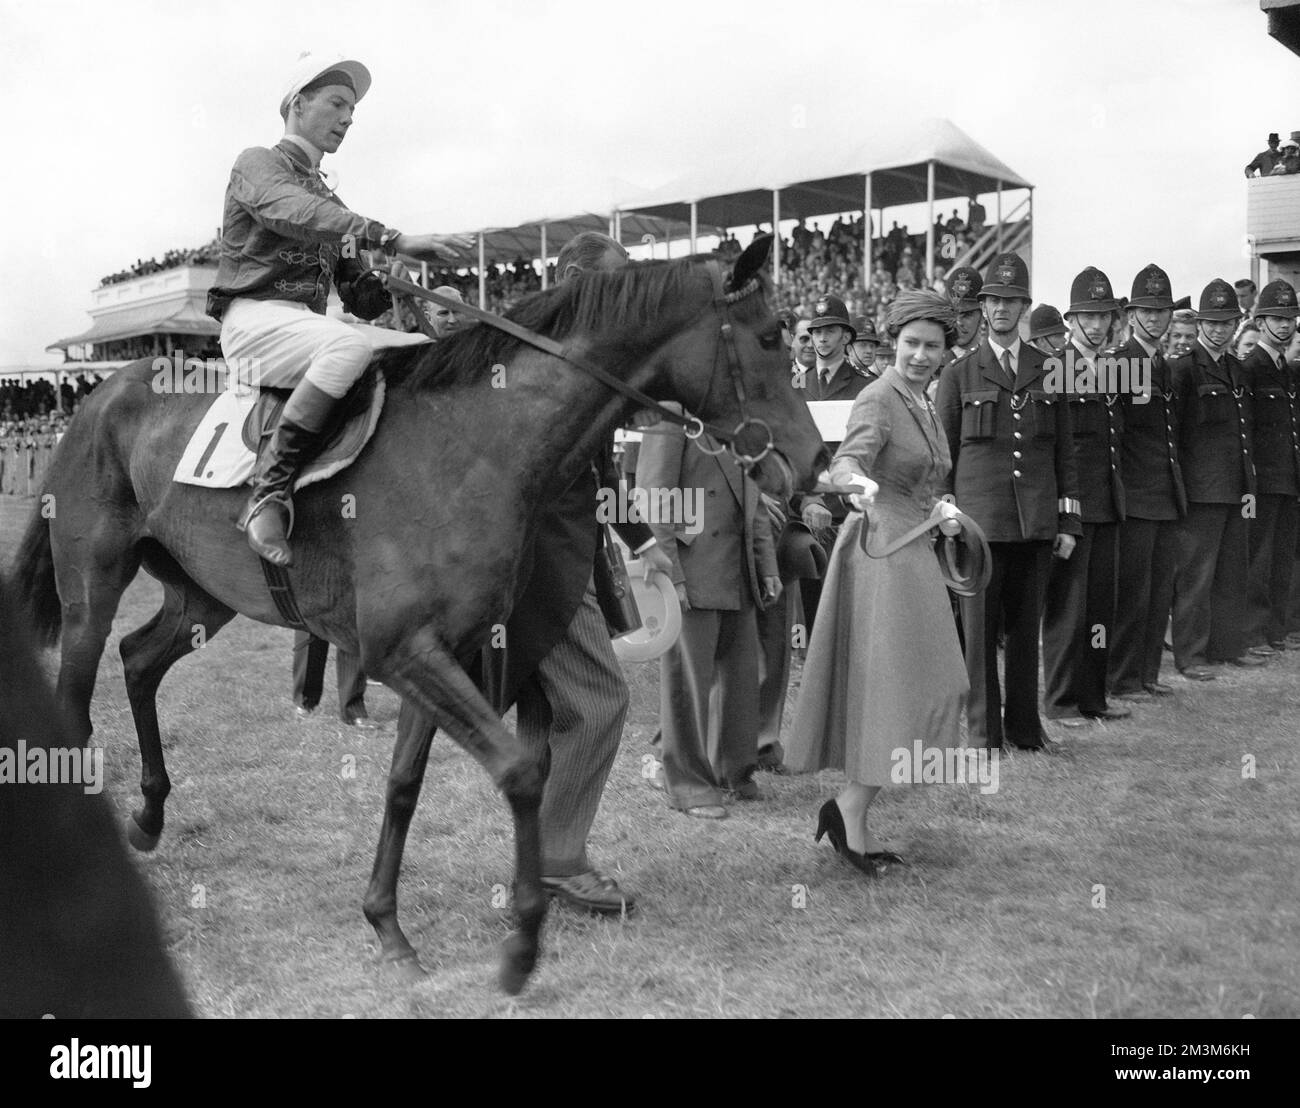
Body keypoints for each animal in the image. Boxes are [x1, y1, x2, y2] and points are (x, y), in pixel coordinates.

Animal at [10, 235, 821, 993]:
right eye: (772, 336)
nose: (812, 462)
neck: (471, 444)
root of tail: (99, 395)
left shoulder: (440, 652)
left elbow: (404, 785)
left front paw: (387, 927)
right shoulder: (404, 651)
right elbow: (521, 770)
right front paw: (520, 946)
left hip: (202, 595)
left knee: (139, 660)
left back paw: (149, 816)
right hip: (91, 590)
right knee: (77, 698)